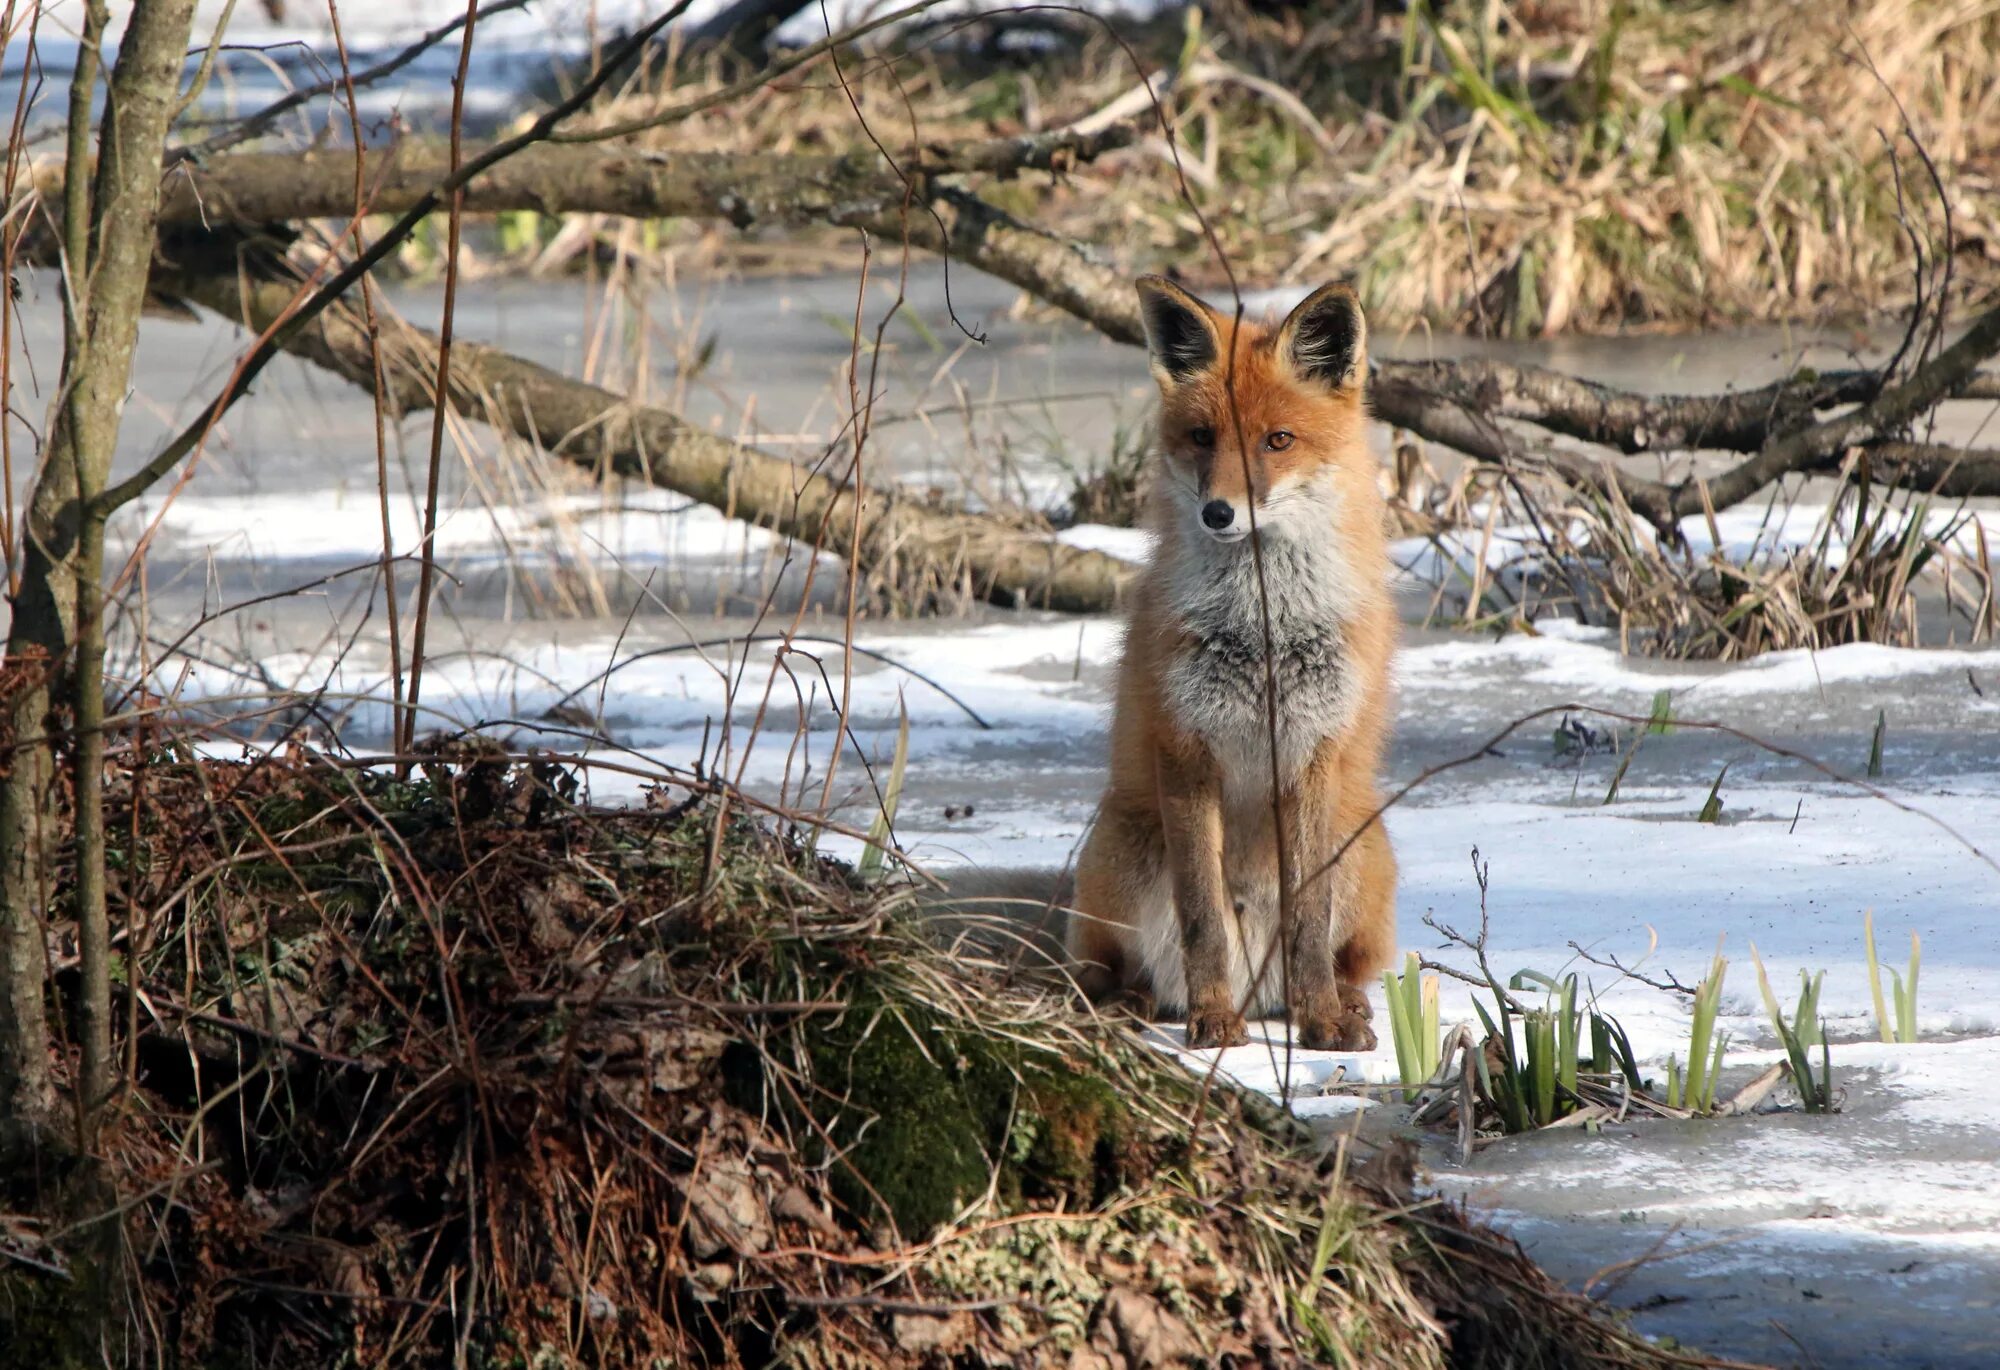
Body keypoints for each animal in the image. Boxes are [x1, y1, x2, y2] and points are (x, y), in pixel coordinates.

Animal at [1072, 276, 1400, 1048]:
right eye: (1202, 438)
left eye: (1277, 441)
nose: (1218, 513)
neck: (1263, 637)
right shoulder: (1187, 751)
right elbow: (1201, 918)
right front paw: (1214, 1019)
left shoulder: (1313, 750)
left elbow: (1309, 918)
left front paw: (1319, 1022)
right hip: (1124, 852)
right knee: (1117, 970)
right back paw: (1132, 1004)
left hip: (1362, 844)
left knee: (1348, 959)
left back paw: (1344, 1004)